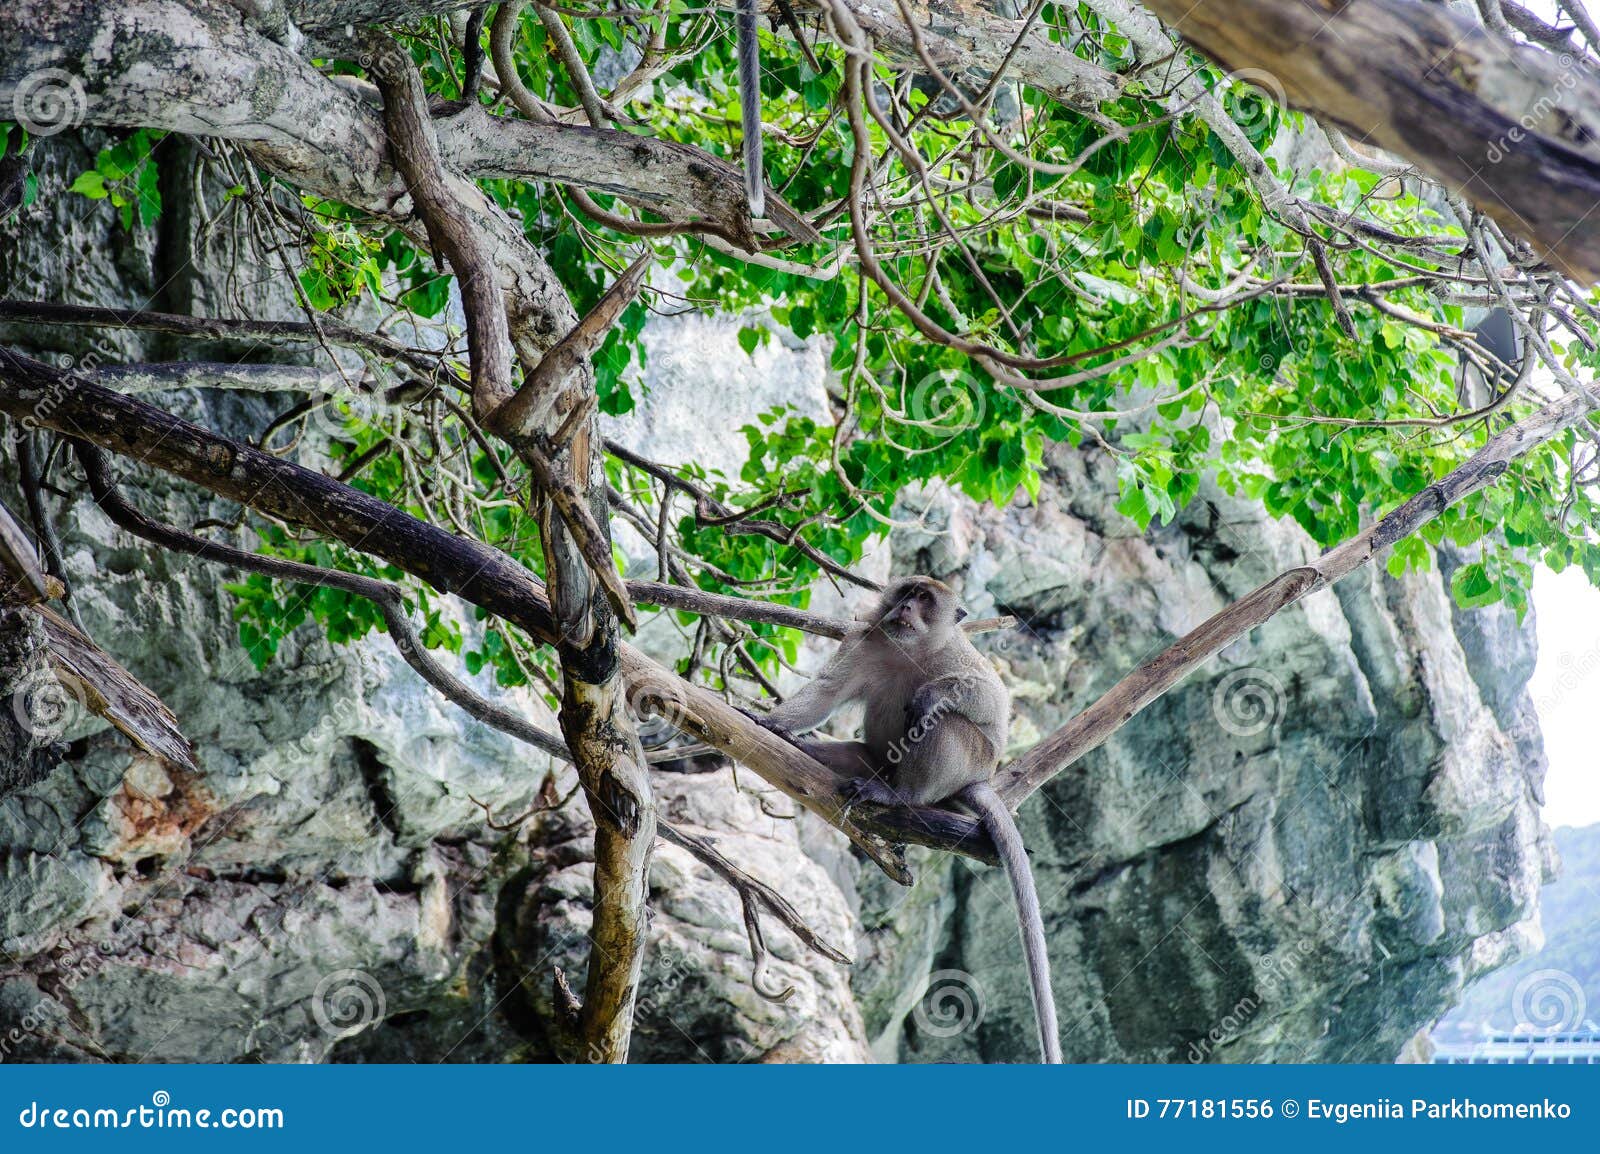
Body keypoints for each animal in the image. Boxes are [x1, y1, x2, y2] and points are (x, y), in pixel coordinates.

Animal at [758, 576, 1062, 1063]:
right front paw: (769, 722)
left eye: (924, 598)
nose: (903, 607)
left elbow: (990, 701)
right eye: (907, 592)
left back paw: (901, 794)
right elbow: (825, 693)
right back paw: (811, 751)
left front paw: (935, 694)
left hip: (968, 763)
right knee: (860, 753)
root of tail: (976, 781)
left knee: (942, 722)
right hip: (873, 761)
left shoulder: (958, 656)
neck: (910, 650)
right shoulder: (864, 640)